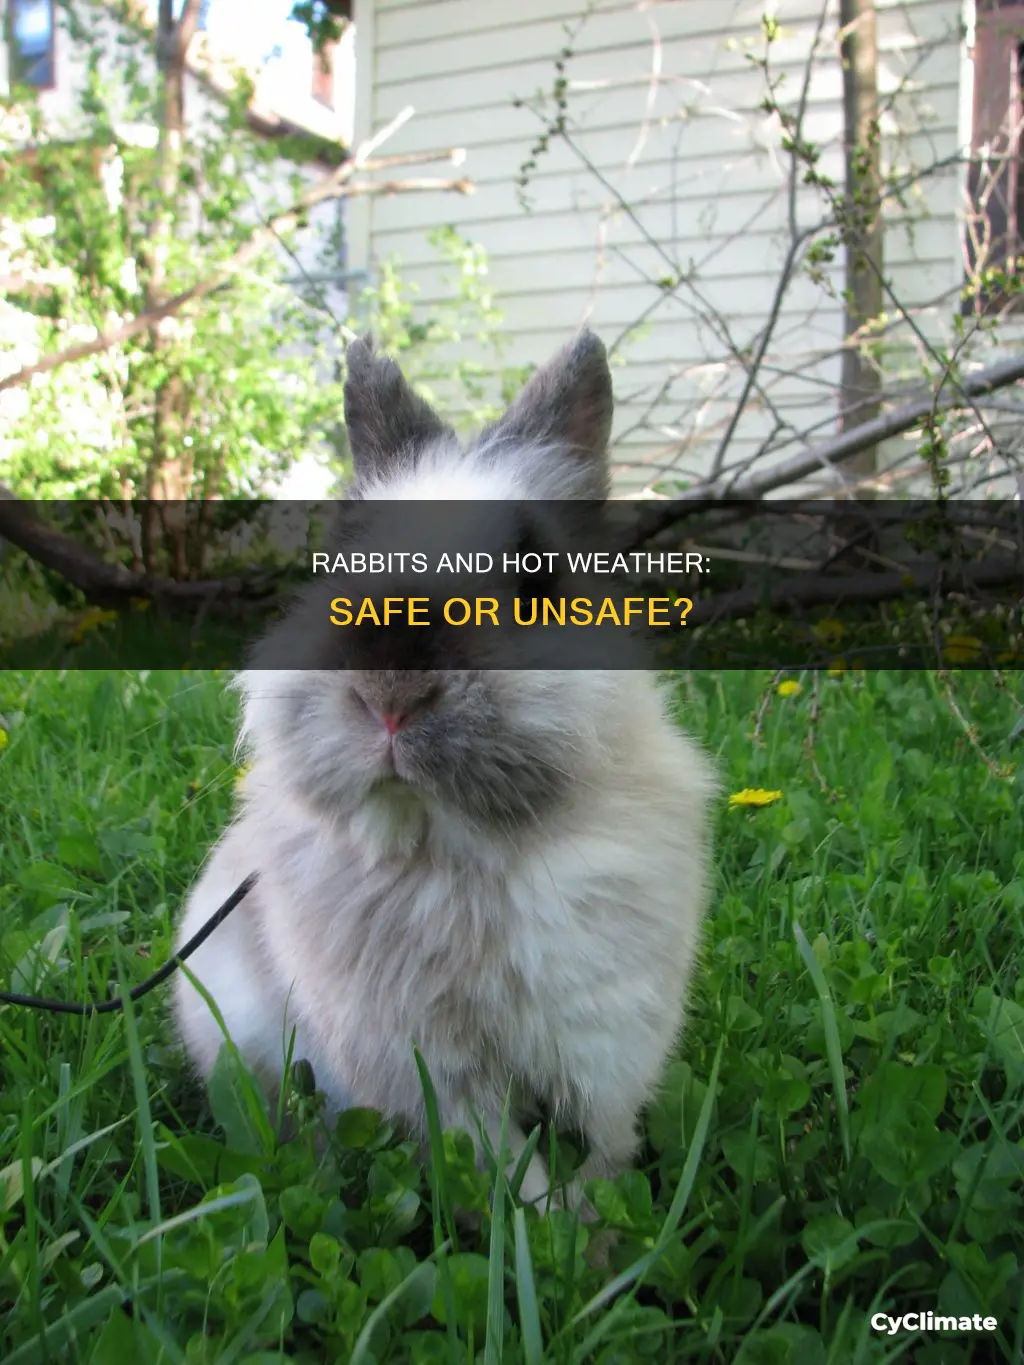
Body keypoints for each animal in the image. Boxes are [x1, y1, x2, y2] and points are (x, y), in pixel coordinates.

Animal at [172, 329, 716, 1211]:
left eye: (536, 575)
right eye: (342, 562)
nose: (391, 694)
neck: (460, 854)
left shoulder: (604, 1039)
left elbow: (600, 1147)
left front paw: (595, 1232)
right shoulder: (428, 1069)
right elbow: (499, 1165)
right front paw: (552, 1231)